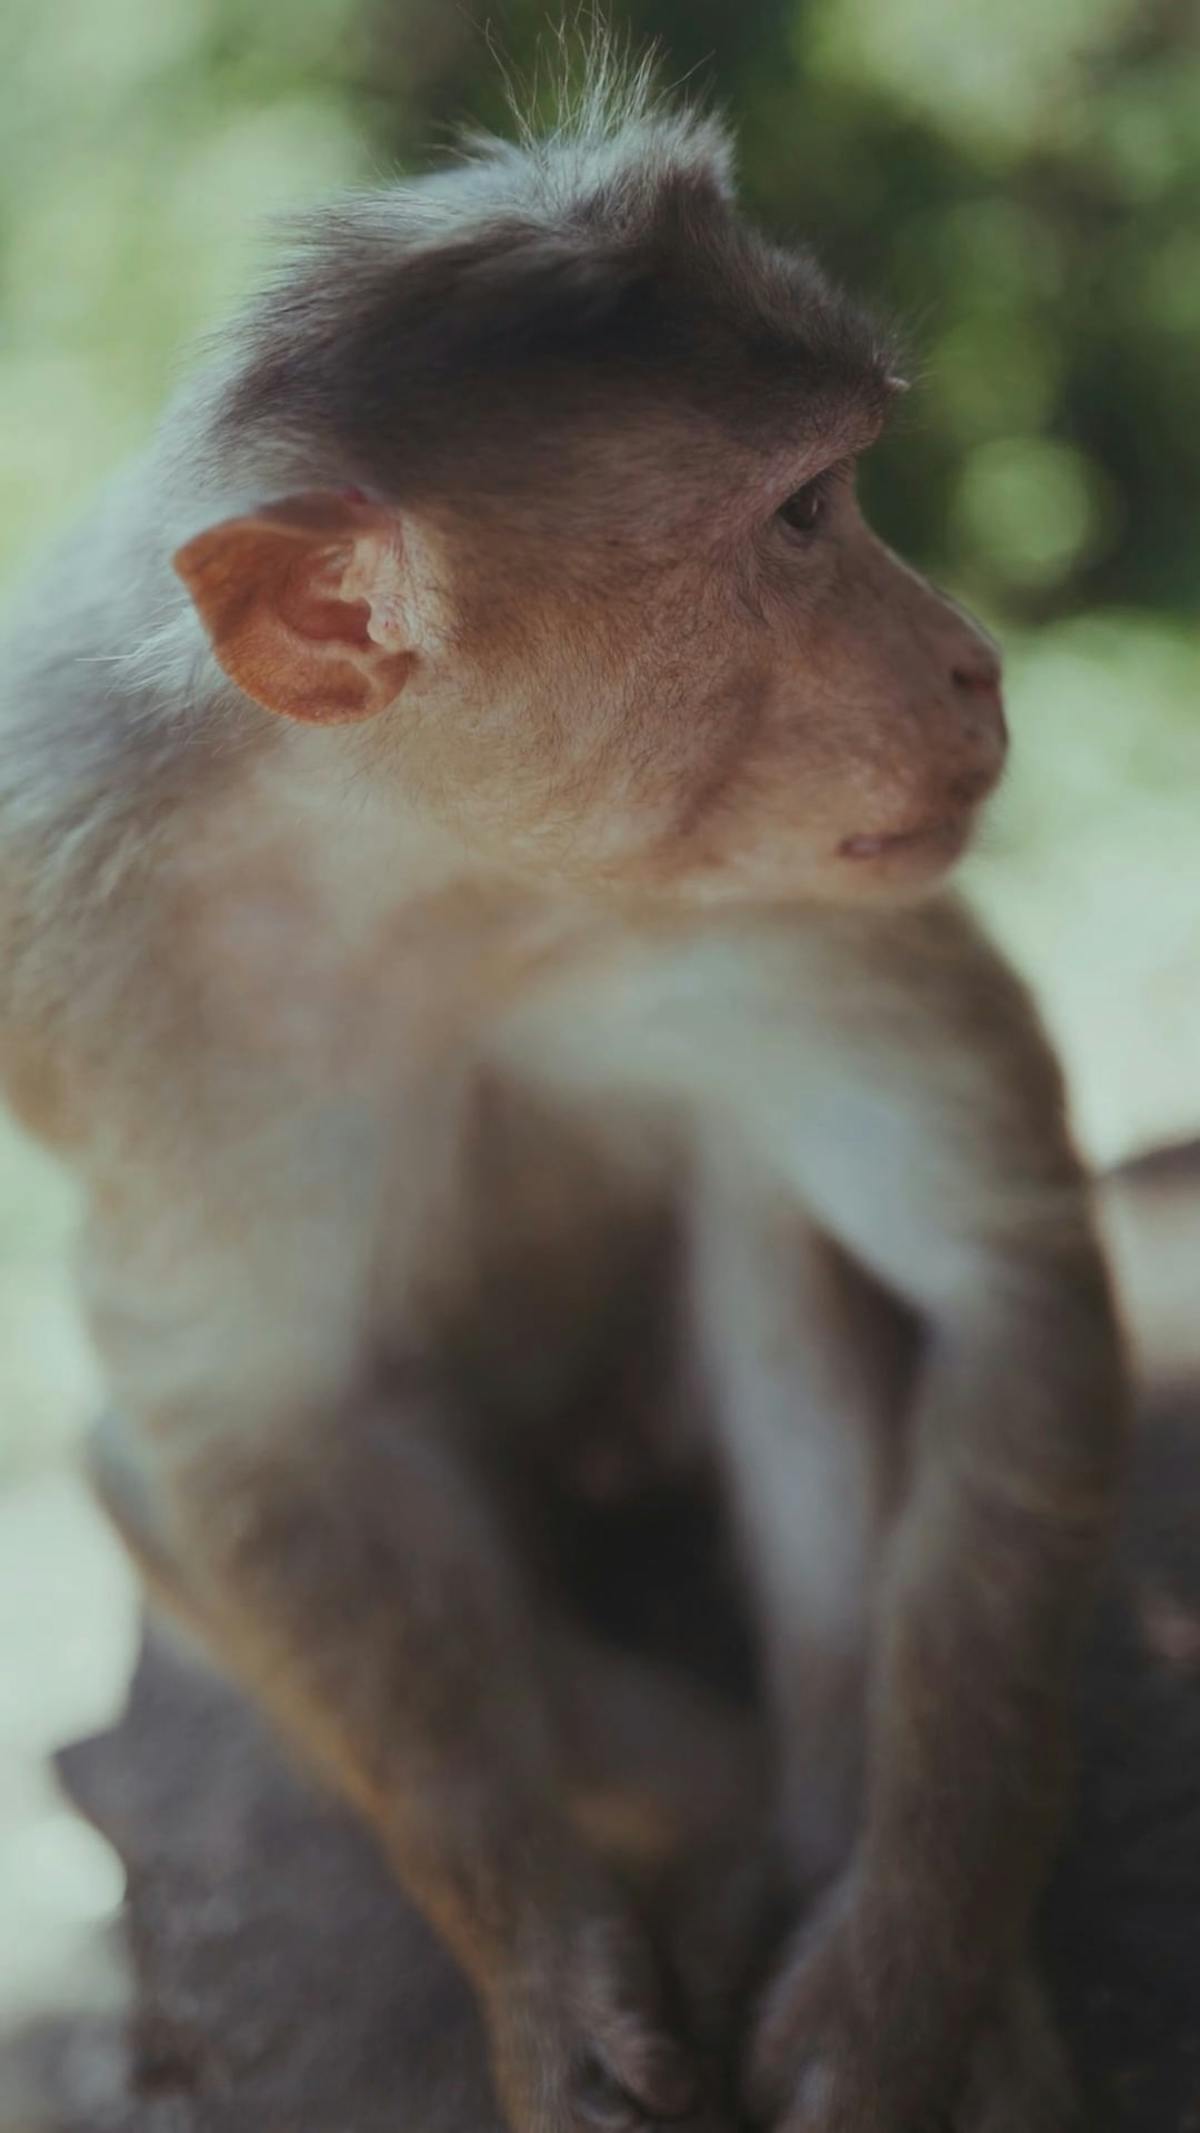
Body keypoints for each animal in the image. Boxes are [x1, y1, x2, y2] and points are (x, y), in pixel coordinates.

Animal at [0, 51, 1127, 2133]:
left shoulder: (801, 894)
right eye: (803, 516)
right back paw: (696, 1819)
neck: (433, 864)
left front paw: (910, 1966)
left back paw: (821, 1826)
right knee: (167, 1463)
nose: (970, 664)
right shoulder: (104, 977)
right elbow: (249, 1415)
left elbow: (989, 1264)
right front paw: (556, 1970)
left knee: (773, 1223)